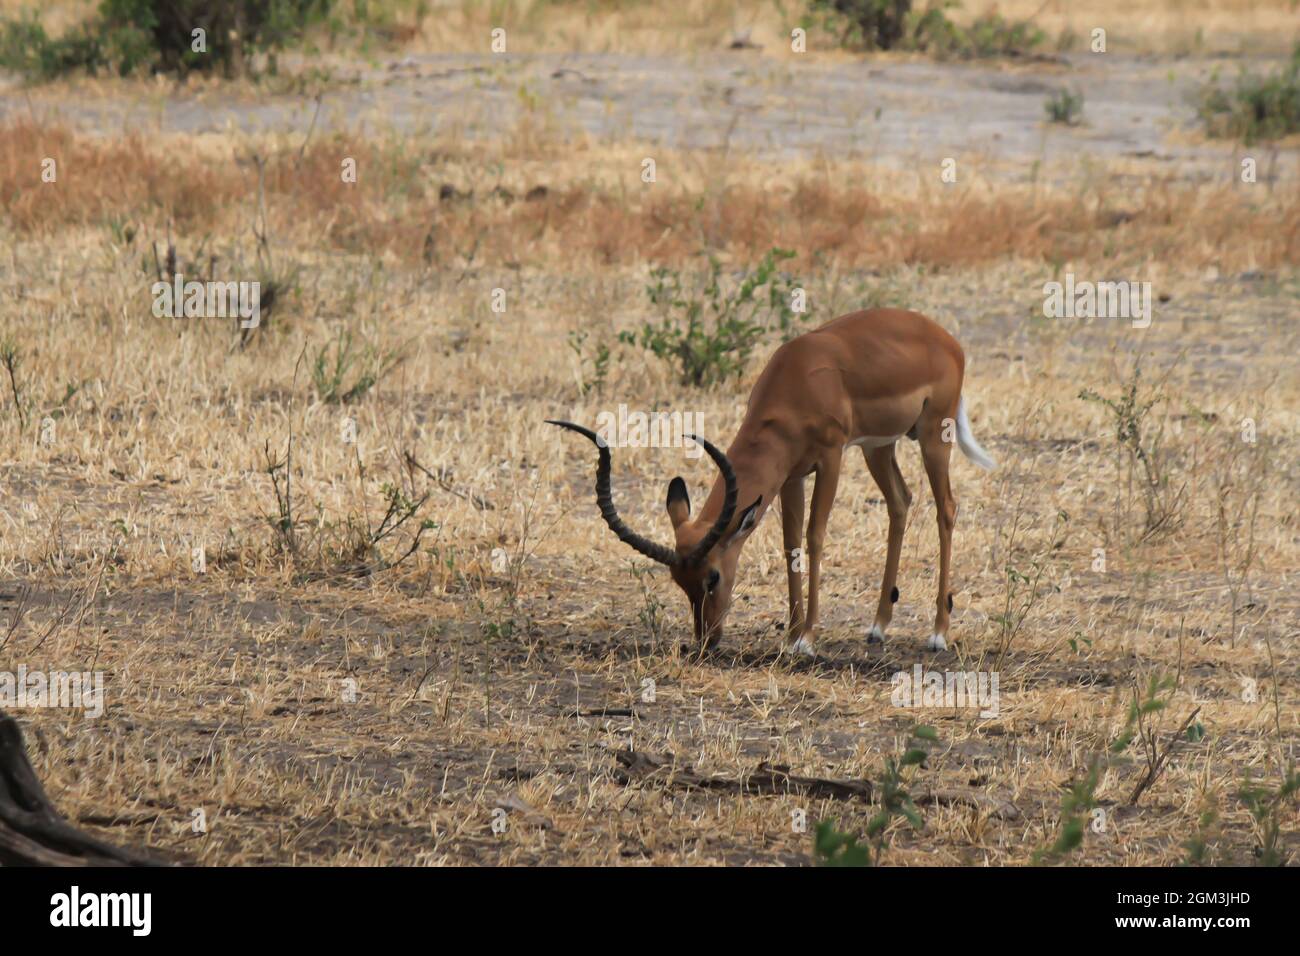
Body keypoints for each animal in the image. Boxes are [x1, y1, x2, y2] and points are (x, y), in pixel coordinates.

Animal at [548, 308, 995, 656]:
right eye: (679, 580)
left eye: (712, 576)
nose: (706, 641)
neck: (798, 380)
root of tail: (946, 338)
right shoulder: (790, 475)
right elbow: (790, 542)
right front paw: (793, 635)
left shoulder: (830, 458)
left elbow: (814, 536)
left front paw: (808, 638)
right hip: (879, 446)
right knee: (900, 502)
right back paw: (878, 627)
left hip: (934, 435)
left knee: (947, 508)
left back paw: (938, 633)